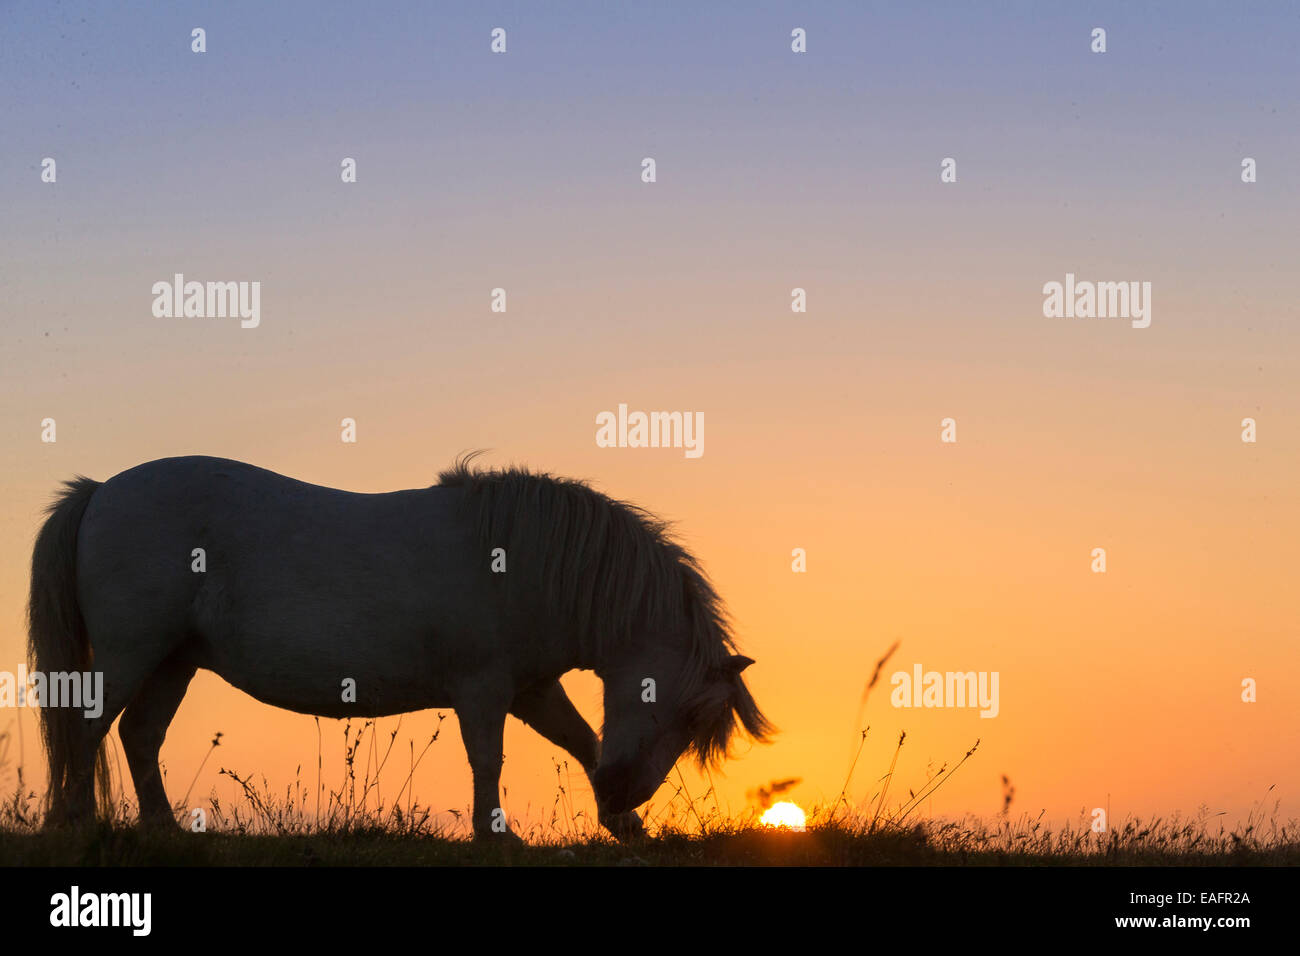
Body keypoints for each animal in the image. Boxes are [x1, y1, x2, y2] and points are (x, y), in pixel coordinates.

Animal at [27, 454, 772, 839]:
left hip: (174, 660)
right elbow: (488, 759)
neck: (527, 564)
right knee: (88, 732)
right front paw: (496, 837)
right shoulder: (483, 688)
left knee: (138, 735)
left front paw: (626, 829)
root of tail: (100, 492)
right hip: (131, 653)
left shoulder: (531, 688)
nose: (625, 792)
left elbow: (580, 740)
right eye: (690, 716)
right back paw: (77, 824)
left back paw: (165, 831)